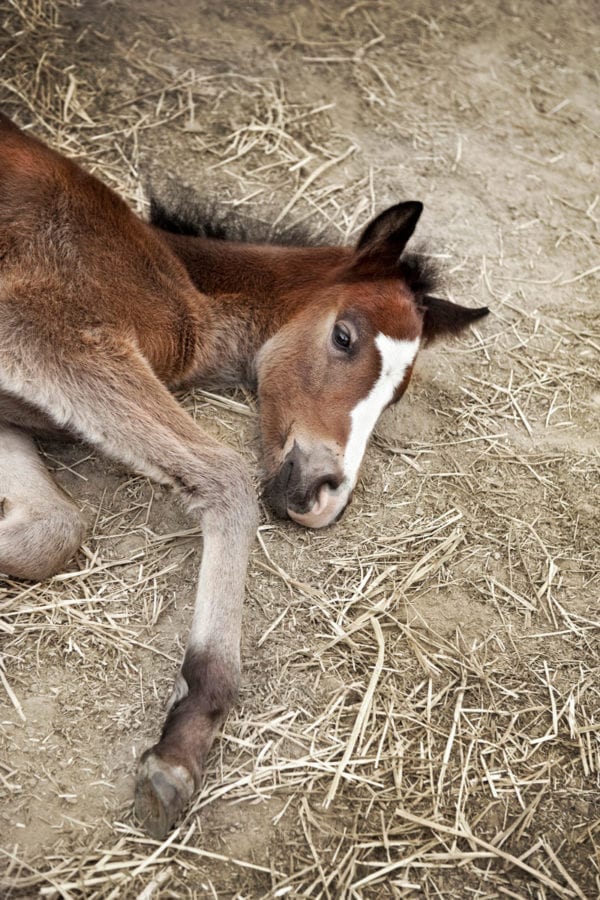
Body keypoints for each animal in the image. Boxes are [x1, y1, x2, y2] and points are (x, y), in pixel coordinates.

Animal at [0, 112, 488, 838]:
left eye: (397, 396)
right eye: (344, 336)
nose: (325, 496)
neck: (178, 277)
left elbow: (52, 528)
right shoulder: (47, 329)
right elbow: (226, 477)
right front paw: (181, 747)